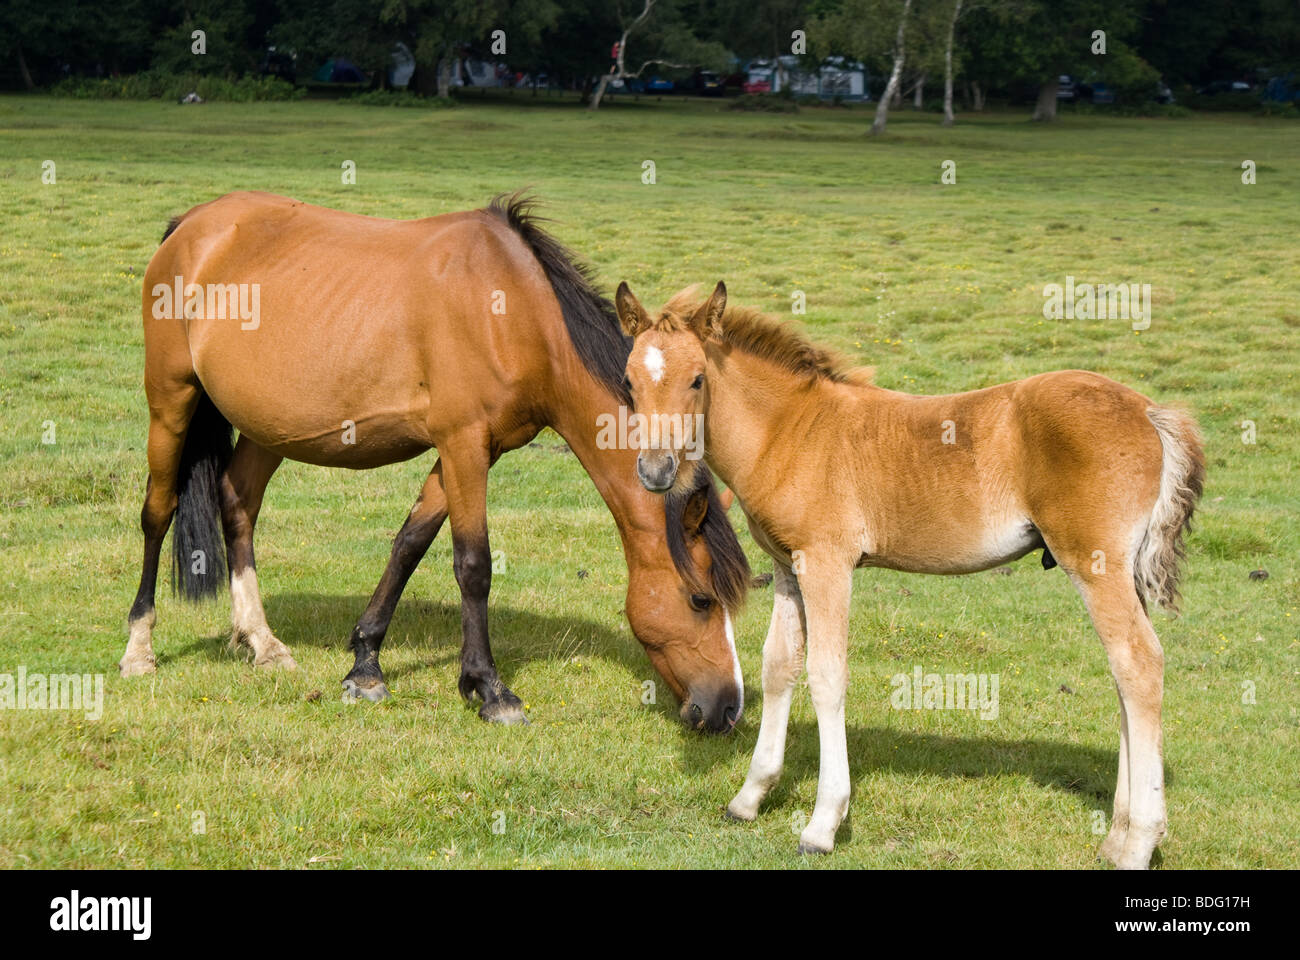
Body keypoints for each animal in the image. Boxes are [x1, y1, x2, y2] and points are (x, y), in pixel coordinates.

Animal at [122, 193, 750, 733]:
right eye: (701, 600)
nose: (727, 709)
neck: (511, 311)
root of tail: (192, 224)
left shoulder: (470, 451)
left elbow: (409, 545)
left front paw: (365, 664)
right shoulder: (463, 444)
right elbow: (473, 565)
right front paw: (489, 689)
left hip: (268, 428)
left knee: (237, 504)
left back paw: (258, 640)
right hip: (170, 400)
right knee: (158, 511)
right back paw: (139, 648)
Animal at [615, 280, 1205, 868]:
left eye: (696, 379)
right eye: (629, 382)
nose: (656, 471)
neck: (789, 429)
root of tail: (1151, 411)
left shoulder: (827, 562)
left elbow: (827, 676)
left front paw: (823, 824)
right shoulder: (787, 565)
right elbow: (779, 666)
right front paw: (749, 797)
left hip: (1095, 563)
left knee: (1139, 664)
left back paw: (1139, 842)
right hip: (1121, 572)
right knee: (1125, 674)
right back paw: (1116, 836)